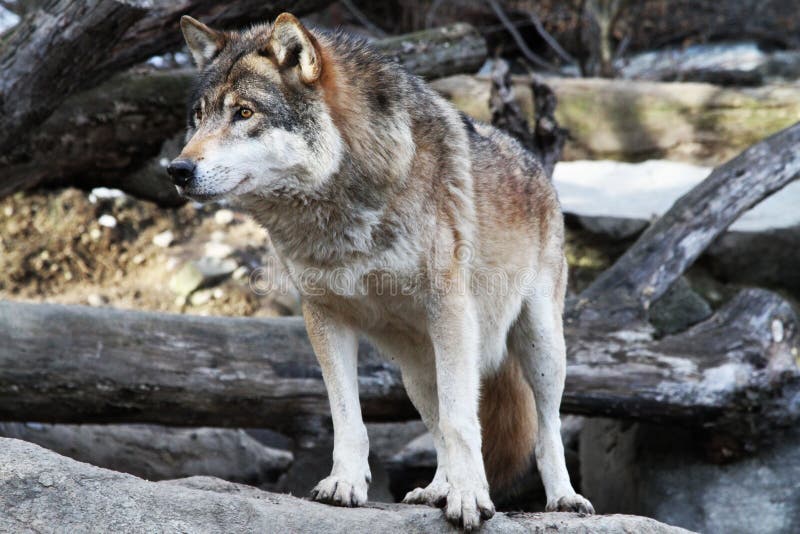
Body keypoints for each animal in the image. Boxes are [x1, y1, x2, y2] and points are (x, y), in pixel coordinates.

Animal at [170, 12, 593, 529]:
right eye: (198, 116)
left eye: (244, 113)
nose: (177, 169)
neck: (339, 211)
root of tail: (535, 164)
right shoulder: (324, 316)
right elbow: (348, 417)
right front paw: (346, 484)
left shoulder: (451, 311)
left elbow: (462, 421)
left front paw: (471, 498)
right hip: (418, 369)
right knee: (436, 426)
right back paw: (437, 490)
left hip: (539, 345)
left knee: (546, 426)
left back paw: (563, 498)